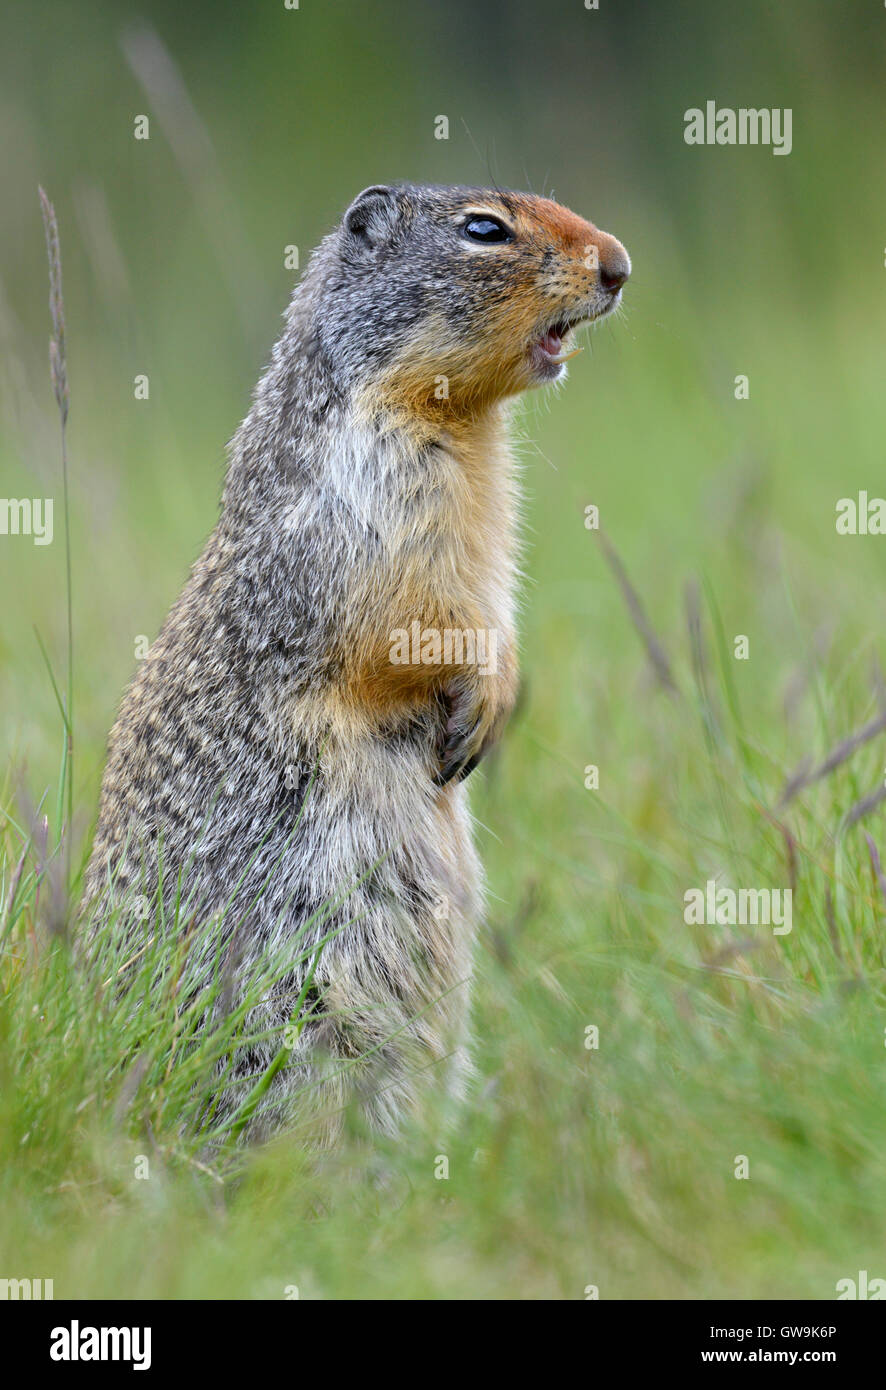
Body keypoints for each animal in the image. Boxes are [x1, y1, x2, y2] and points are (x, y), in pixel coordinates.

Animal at [83, 183, 630, 1145]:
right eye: (484, 229)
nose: (620, 264)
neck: (460, 422)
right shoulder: (372, 510)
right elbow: (408, 629)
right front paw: (485, 696)